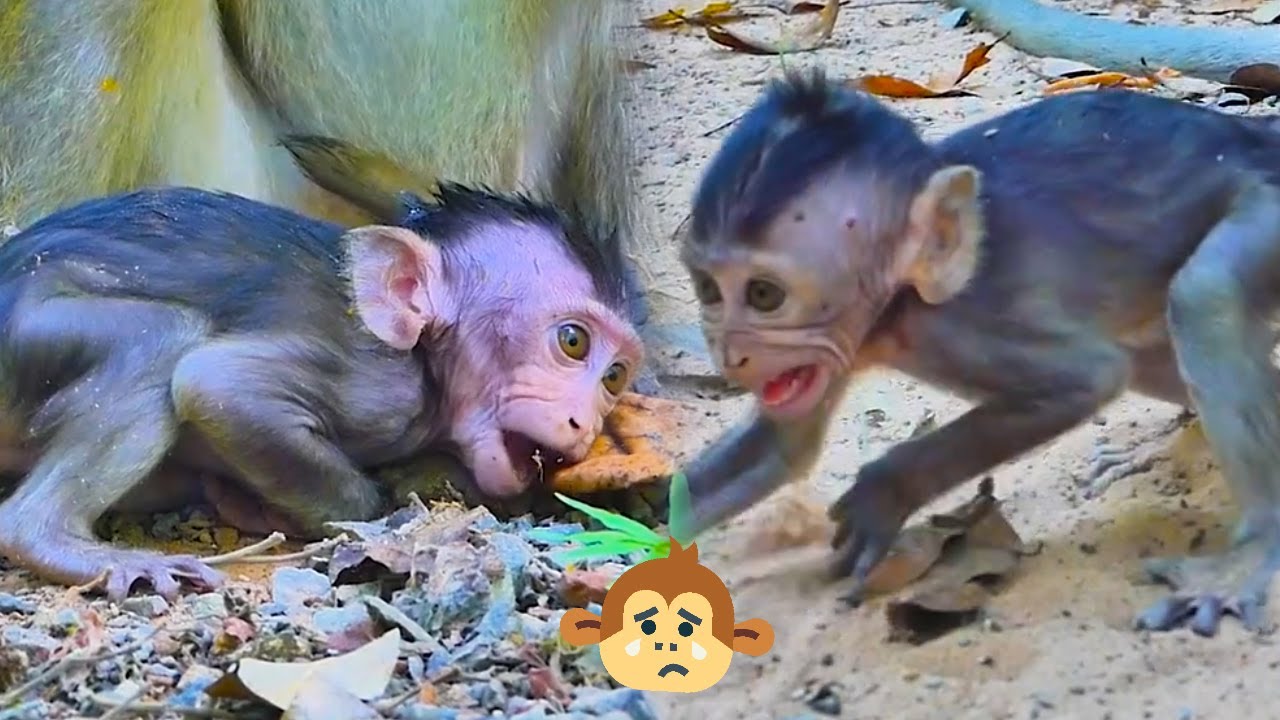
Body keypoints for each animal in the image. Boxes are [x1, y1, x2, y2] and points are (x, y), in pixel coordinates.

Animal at [0, 184, 643, 600]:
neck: (423, 358)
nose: (585, 422)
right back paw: (49, 537)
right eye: (572, 341)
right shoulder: (379, 387)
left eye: (613, 377)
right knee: (161, 338)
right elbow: (216, 387)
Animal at [671, 69, 1280, 637]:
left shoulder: (961, 325)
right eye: (707, 290)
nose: (728, 353)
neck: (900, 303)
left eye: (763, 295)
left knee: (1204, 296)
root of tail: (1253, 136)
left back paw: (1249, 554)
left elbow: (1089, 378)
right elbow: (783, 449)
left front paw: (884, 492)